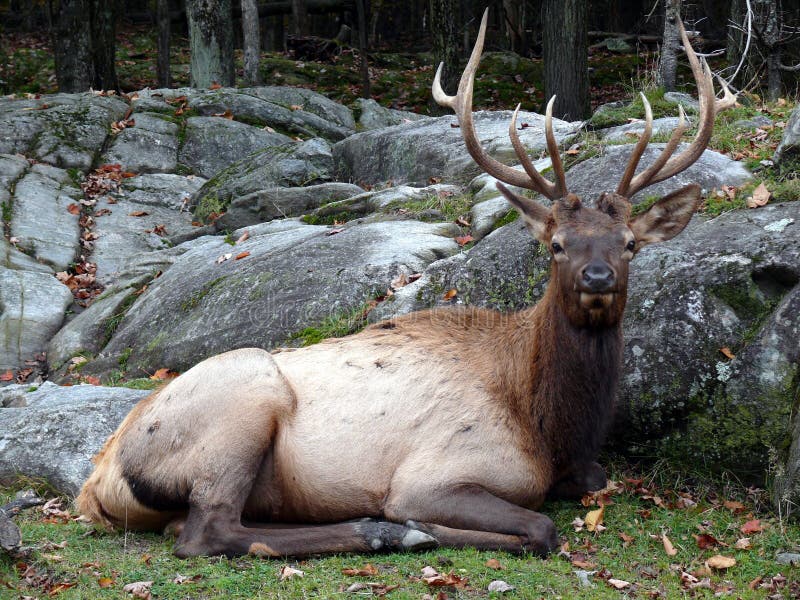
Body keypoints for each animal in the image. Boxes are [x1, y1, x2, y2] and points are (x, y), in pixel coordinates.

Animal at [77, 11, 735, 559]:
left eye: (629, 244)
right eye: (556, 245)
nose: (597, 278)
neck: (551, 428)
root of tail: (96, 482)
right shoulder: (433, 474)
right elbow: (539, 525)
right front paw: (416, 525)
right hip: (244, 401)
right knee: (207, 533)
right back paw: (382, 532)